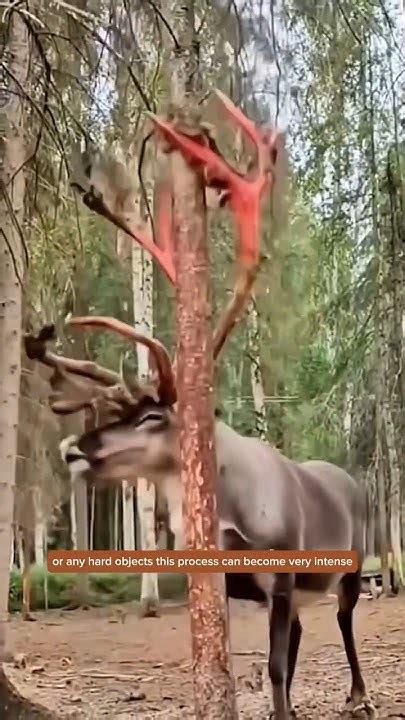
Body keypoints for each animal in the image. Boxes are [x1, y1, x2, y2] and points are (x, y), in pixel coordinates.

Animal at [24, 94, 376, 719]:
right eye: (110, 413)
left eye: (150, 416)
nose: (73, 448)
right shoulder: (224, 579)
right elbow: (257, 663)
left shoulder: (282, 569)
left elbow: (276, 665)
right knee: (305, 631)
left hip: (353, 563)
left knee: (343, 620)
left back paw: (359, 694)